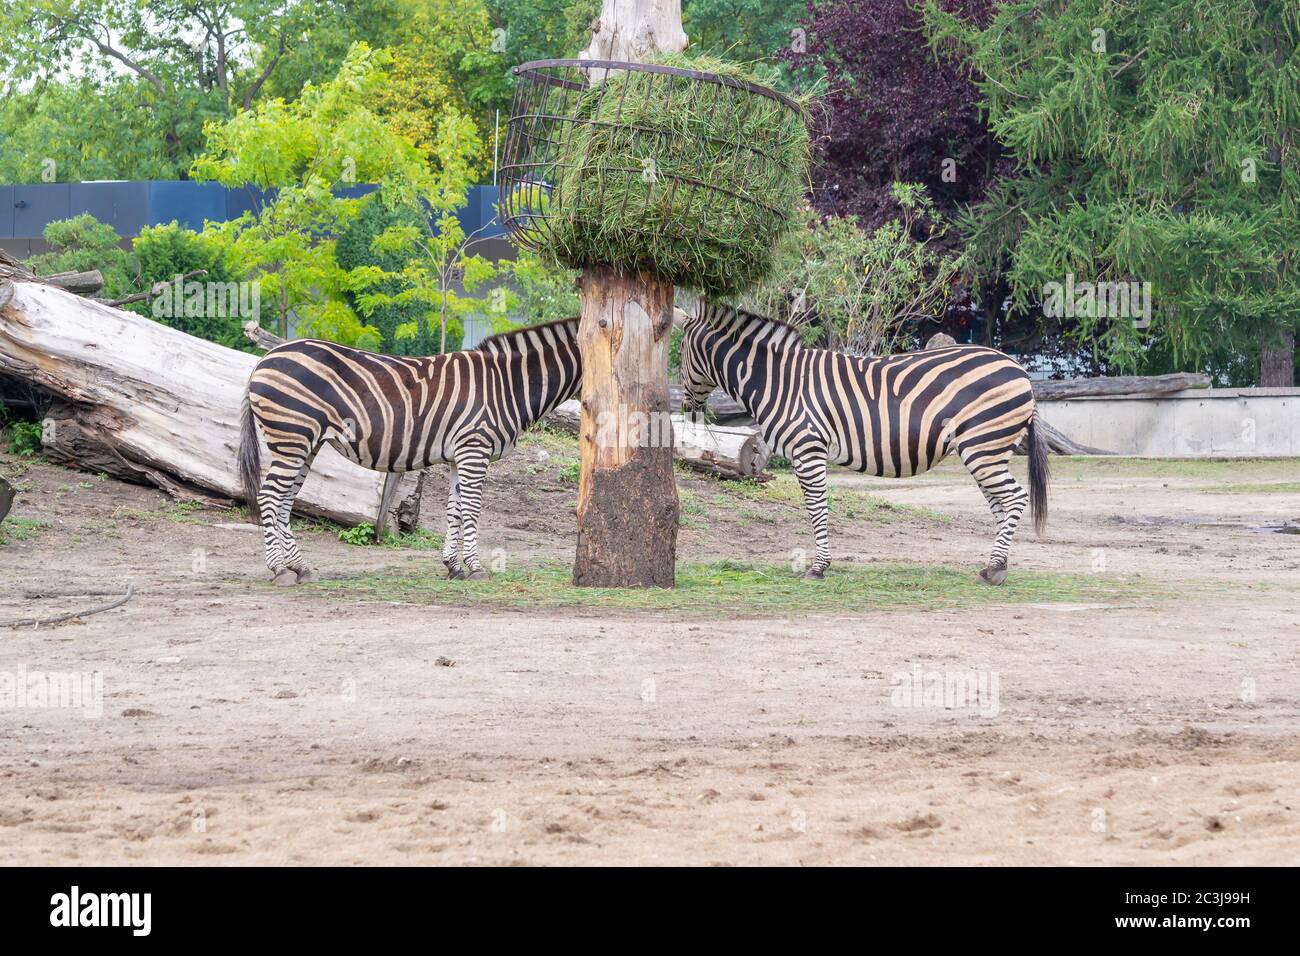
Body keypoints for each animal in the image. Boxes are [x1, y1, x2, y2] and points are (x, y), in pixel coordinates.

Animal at [238, 318, 581, 585]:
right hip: (292, 437)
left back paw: (301, 568)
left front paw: (453, 566)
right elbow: (472, 508)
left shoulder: (459, 455)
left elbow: (454, 510)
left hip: (305, 443)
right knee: (269, 497)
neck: (508, 384)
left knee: (285, 501)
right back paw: (280, 570)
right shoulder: (474, 448)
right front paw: (475, 567)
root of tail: (264, 359)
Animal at [679, 303, 1049, 584]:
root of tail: (1019, 369)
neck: (777, 381)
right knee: (1000, 504)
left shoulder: (808, 448)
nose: (688, 411)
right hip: (985, 449)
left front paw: (818, 567)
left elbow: (817, 507)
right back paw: (995, 566)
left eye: (680, 351)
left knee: (1015, 498)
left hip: (983, 446)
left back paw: (995, 568)